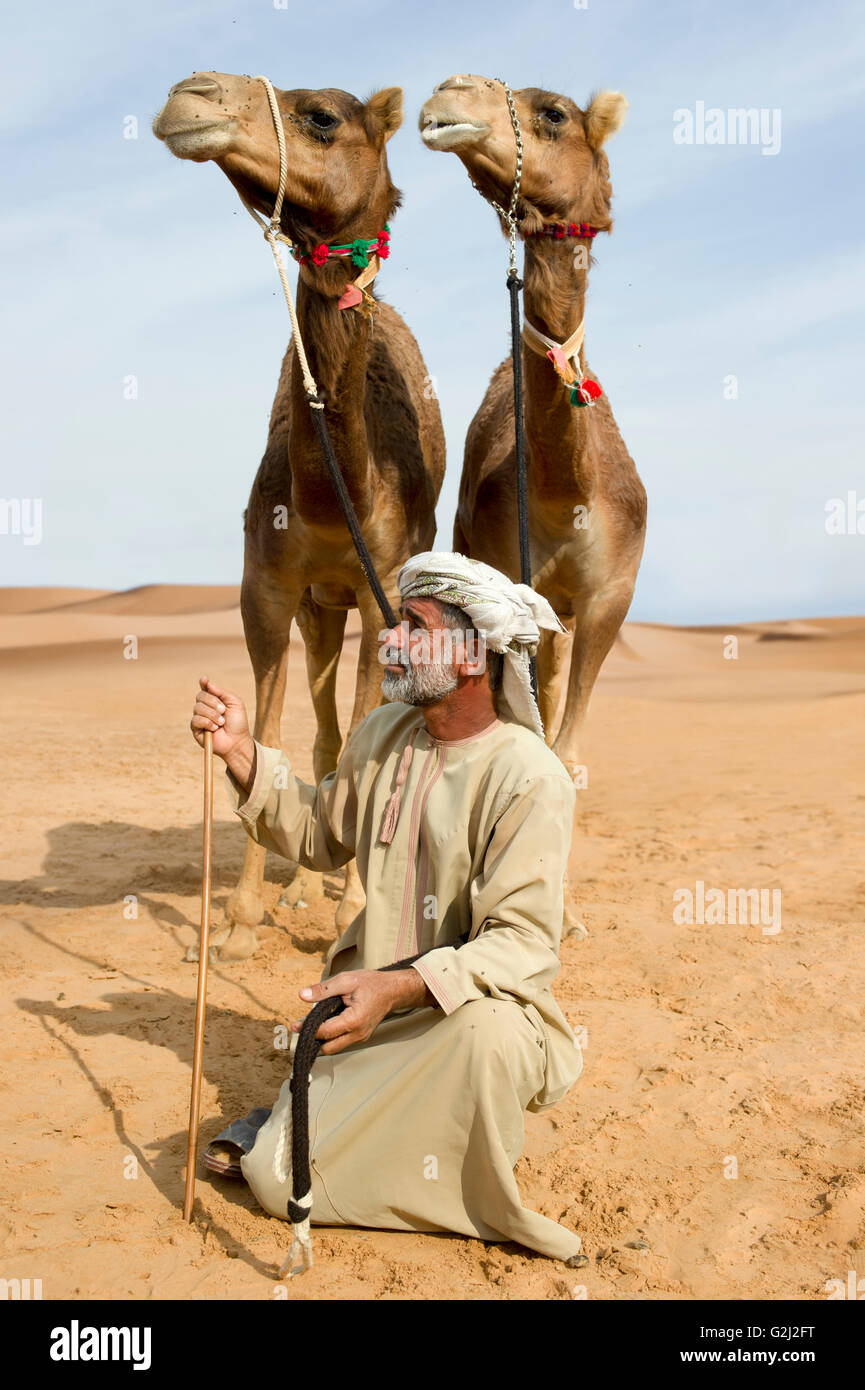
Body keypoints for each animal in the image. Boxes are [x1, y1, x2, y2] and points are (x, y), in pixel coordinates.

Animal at [154, 73, 445, 958]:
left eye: (320, 117)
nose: (189, 93)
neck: (332, 490)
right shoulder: (269, 586)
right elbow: (275, 727)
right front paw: (240, 919)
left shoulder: (385, 588)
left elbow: (369, 729)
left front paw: (355, 907)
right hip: (321, 607)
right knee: (320, 731)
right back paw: (301, 883)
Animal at [419, 75, 647, 777]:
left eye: (553, 114)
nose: (448, 92)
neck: (565, 495)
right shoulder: (503, 577)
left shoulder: (612, 592)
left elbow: (565, 750)